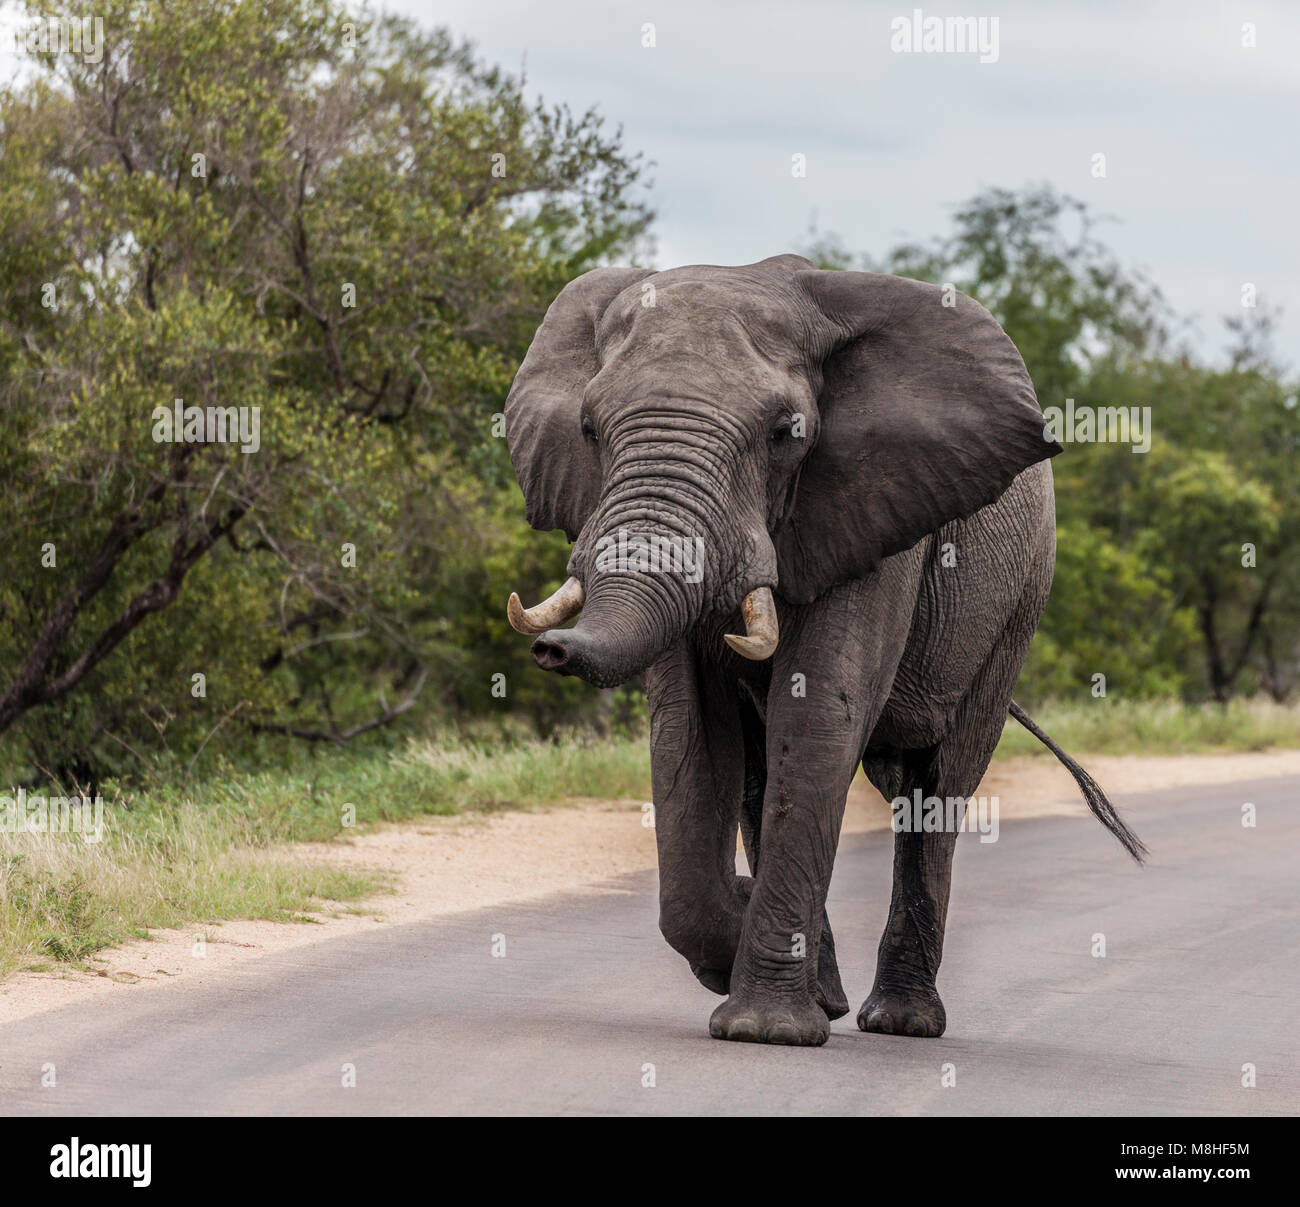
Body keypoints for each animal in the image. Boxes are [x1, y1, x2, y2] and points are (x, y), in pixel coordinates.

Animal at [503, 254, 1145, 1047]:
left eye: (787, 432)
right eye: (589, 428)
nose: (551, 650)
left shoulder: (883, 510)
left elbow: (817, 720)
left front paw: (764, 1029)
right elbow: (692, 731)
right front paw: (741, 947)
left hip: (1018, 605)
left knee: (938, 786)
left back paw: (899, 1021)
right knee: (770, 775)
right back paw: (832, 996)